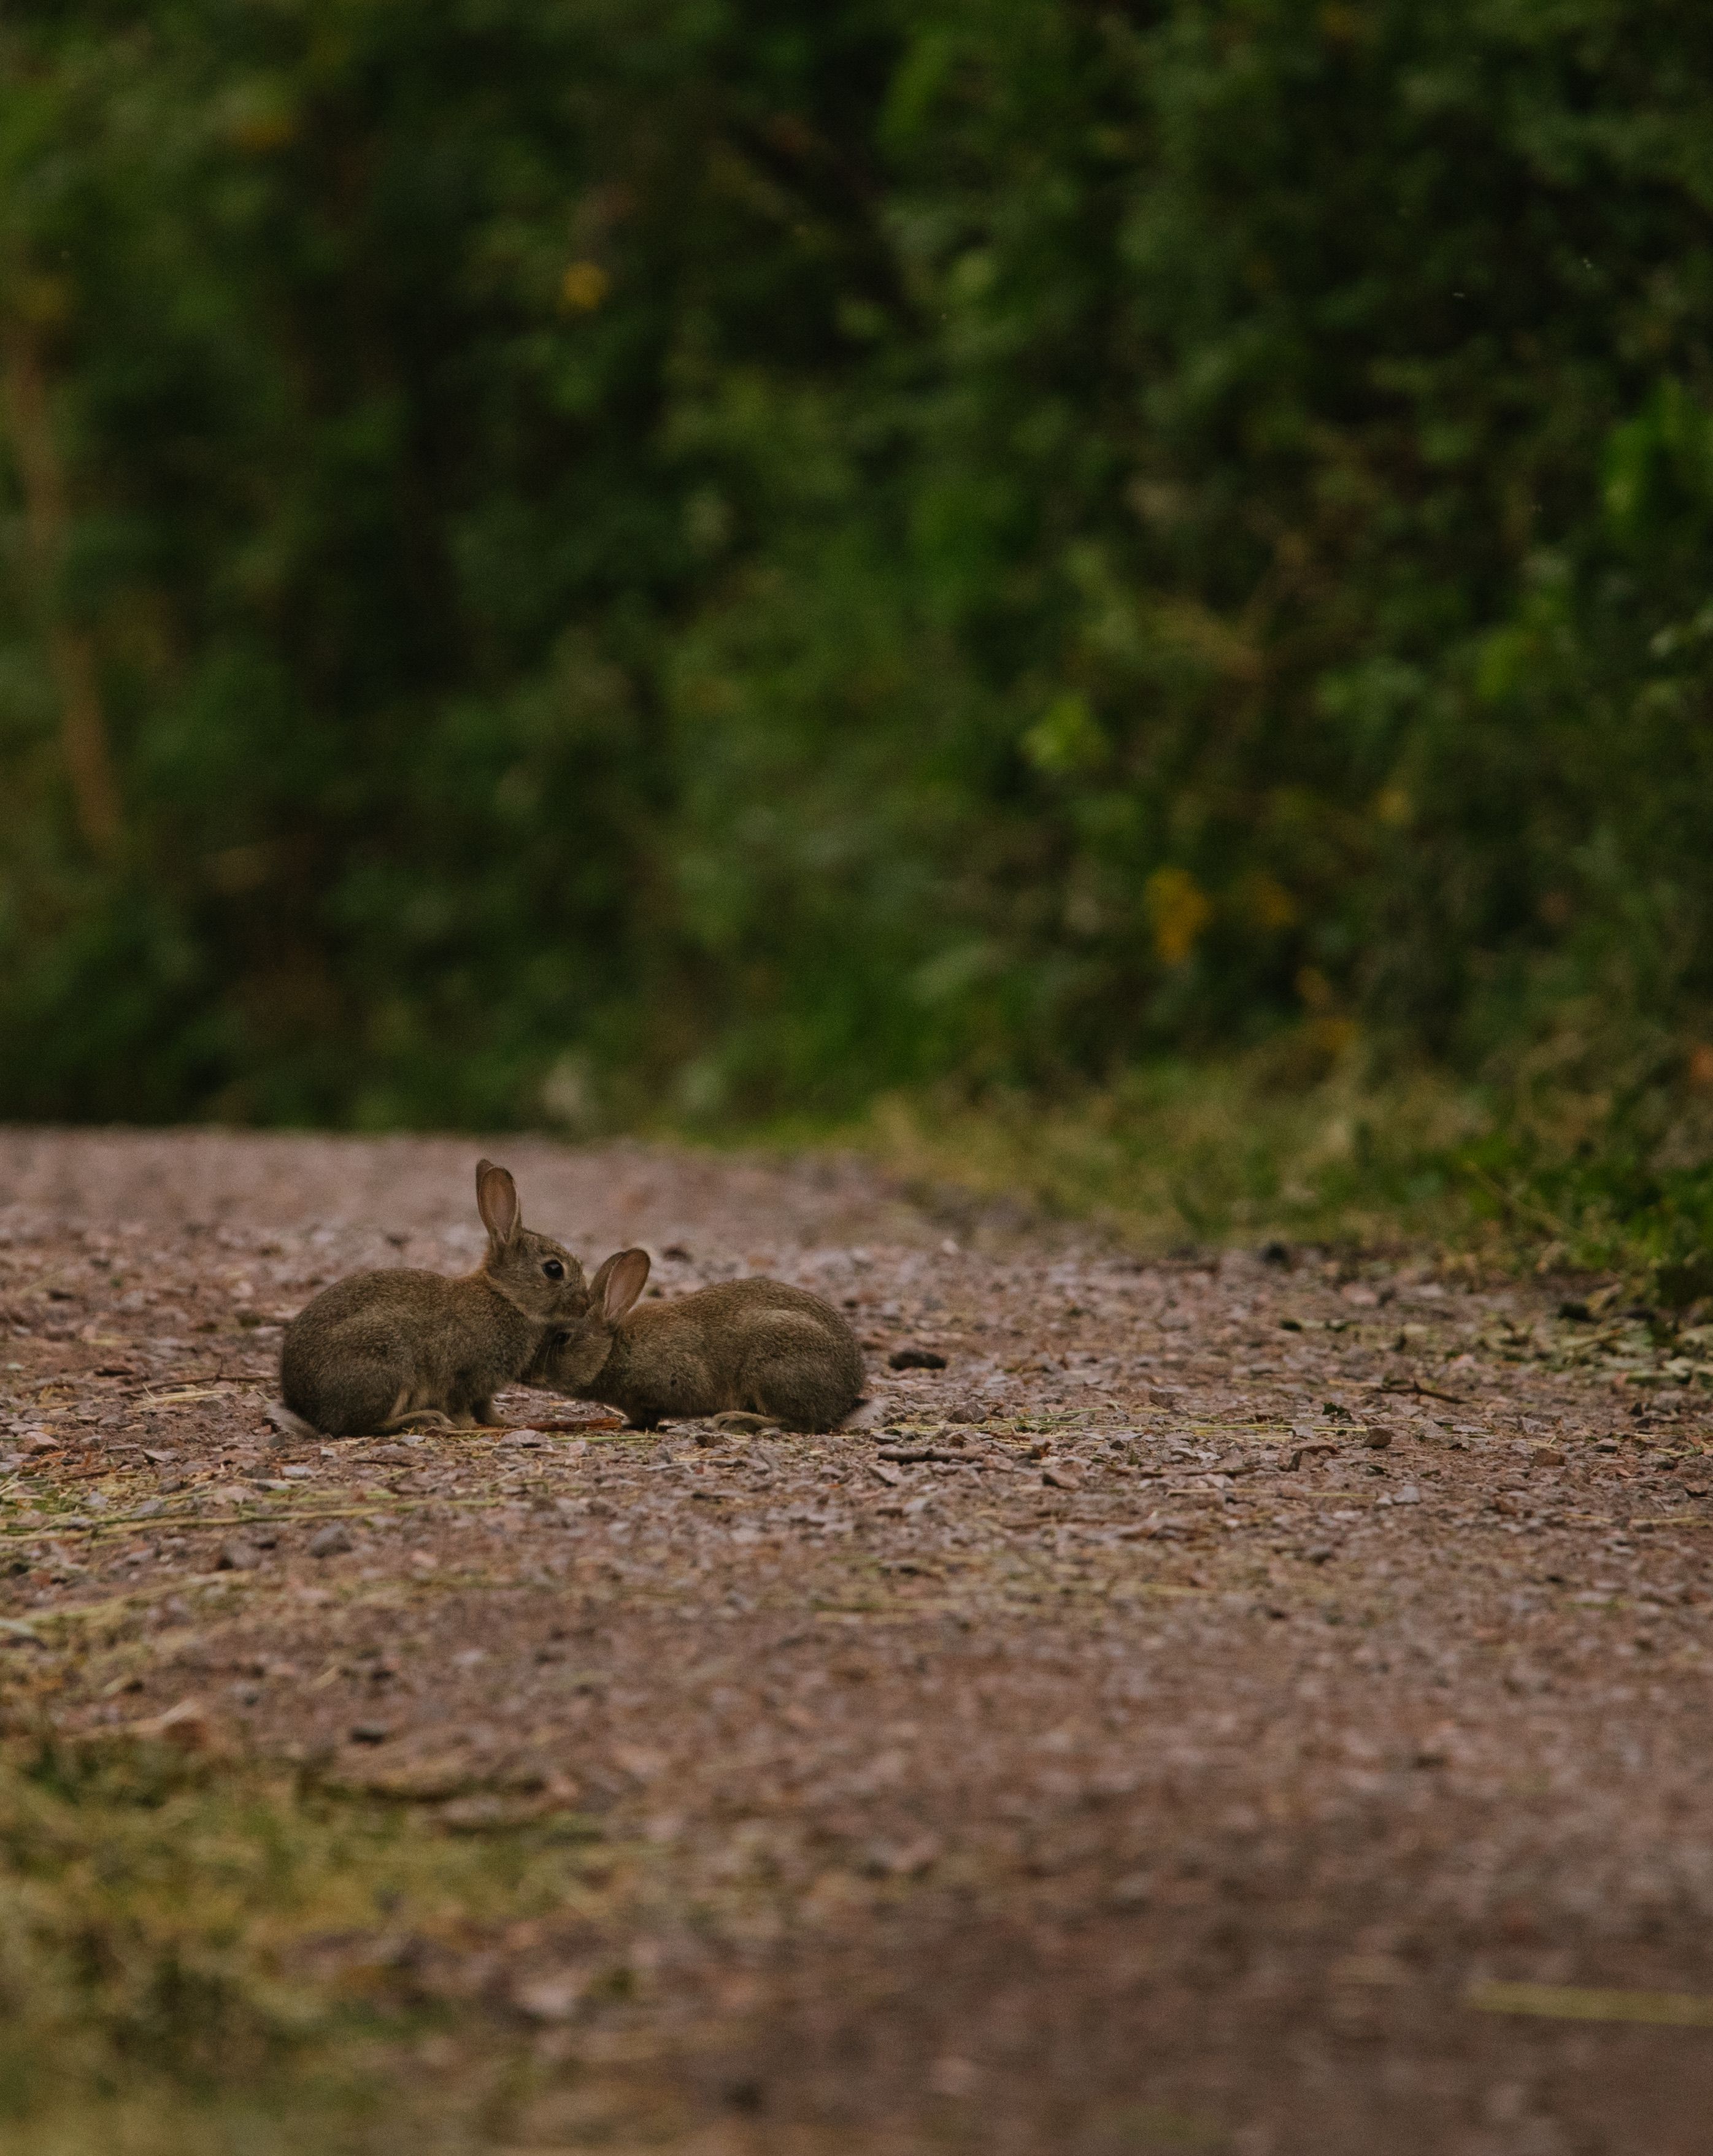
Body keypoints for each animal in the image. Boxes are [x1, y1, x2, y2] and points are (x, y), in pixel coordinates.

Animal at [278, 1159, 588, 1436]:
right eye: (553, 1269)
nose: (585, 1305)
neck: (505, 1296)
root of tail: (305, 1407)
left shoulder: (484, 1389)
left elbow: (487, 1408)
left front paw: (504, 1423)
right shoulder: (462, 1378)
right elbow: (461, 1408)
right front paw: (470, 1427)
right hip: (387, 1363)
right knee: (362, 1426)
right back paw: (428, 1418)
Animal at [525, 1248, 863, 1431]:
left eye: (562, 1338)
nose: (528, 1374)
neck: (613, 1351)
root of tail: (848, 1390)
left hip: (773, 1367)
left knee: (795, 1421)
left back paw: (731, 1421)